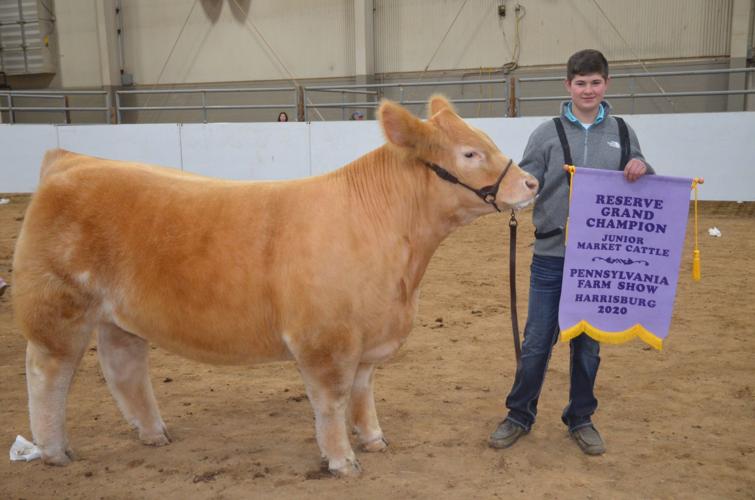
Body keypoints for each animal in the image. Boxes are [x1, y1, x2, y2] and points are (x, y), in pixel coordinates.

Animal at [12, 95, 538, 477]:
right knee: (47, 375)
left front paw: (373, 439)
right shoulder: (325, 341)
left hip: (119, 316)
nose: (531, 183)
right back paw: (54, 450)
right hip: (56, 307)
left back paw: (153, 432)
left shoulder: (369, 336)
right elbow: (332, 402)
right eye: (469, 153)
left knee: (124, 368)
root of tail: (70, 160)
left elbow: (363, 393)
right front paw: (342, 460)